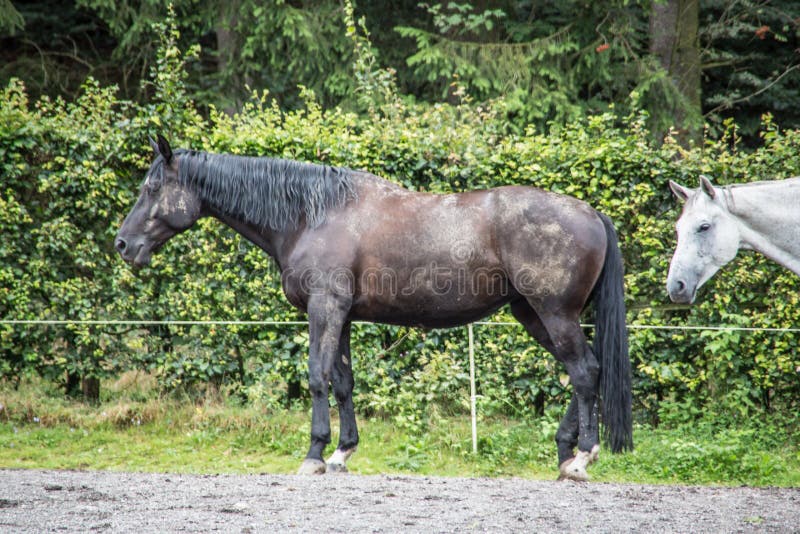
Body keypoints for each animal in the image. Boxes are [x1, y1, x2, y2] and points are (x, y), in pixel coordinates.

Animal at [115, 135, 633, 481]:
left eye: (152, 187)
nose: (123, 244)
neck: (312, 214)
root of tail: (591, 213)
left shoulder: (324, 309)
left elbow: (317, 376)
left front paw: (314, 454)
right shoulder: (341, 316)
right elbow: (343, 382)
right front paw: (342, 453)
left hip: (554, 313)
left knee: (584, 372)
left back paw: (583, 458)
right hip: (534, 314)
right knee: (582, 371)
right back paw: (565, 454)